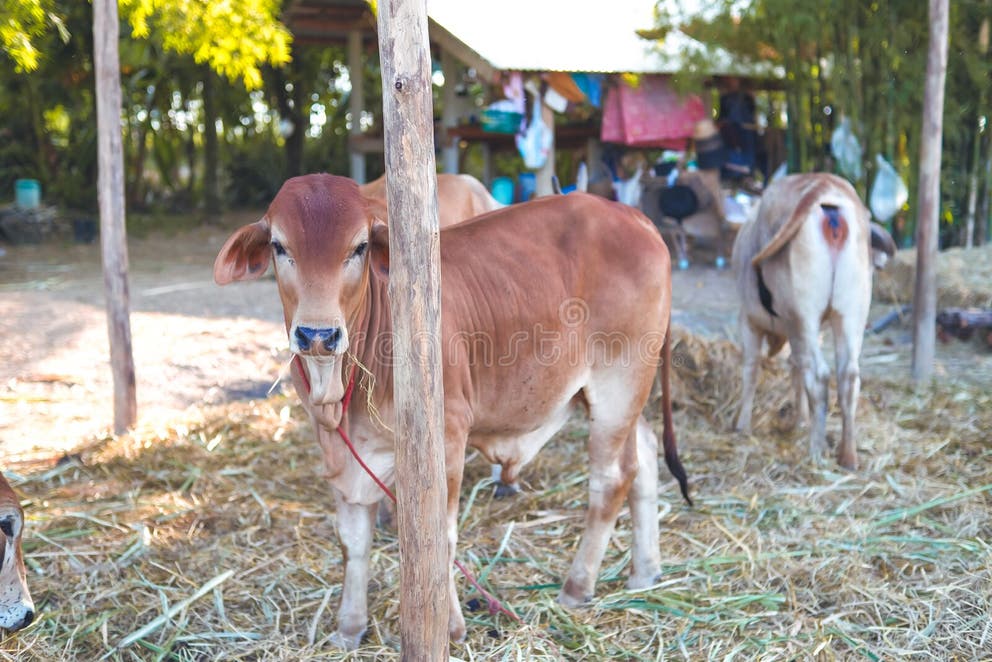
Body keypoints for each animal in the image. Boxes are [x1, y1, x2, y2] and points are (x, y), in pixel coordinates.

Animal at [214, 174, 690, 649]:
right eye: (279, 246)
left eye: (359, 246)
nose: (318, 334)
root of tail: (632, 216)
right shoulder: (343, 455)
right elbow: (353, 541)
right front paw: (349, 629)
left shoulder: (446, 438)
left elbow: (436, 537)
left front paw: (449, 626)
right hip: (618, 394)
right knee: (645, 455)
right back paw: (645, 572)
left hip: (618, 383)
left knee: (611, 479)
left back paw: (578, 585)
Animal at [732, 172, 895, 470]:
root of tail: (825, 186)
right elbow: (795, 369)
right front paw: (801, 420)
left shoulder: (749, 320)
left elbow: (751, 369)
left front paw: (742, 425)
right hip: (850, 315)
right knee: (847, 376)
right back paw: (848, 455)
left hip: (803, 315)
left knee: (818, 375)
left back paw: (816, 451)